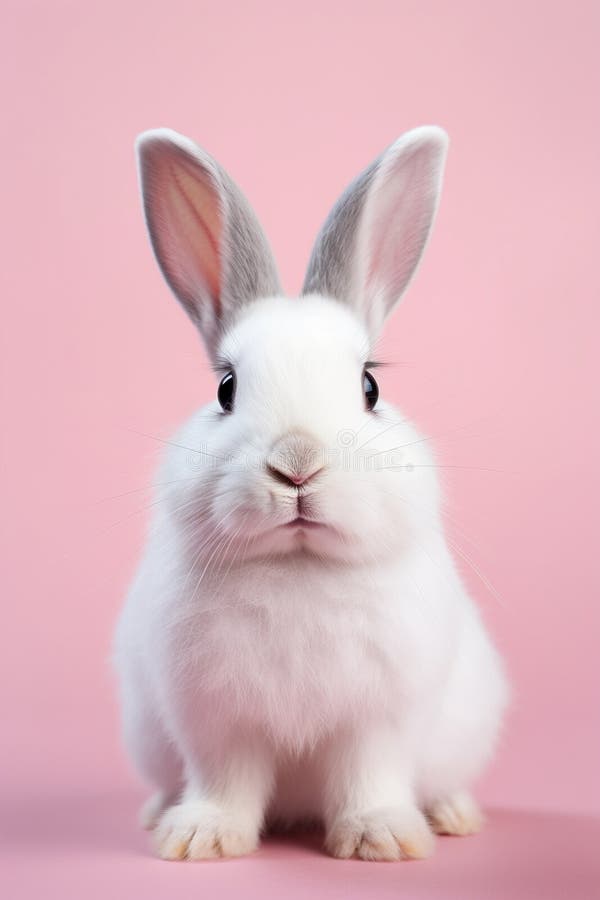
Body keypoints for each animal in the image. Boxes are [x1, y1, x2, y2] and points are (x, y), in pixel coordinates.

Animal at [113, 125, 509, 863]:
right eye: (225, 389)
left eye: (370, 387)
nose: (297, 465)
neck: (297, 567)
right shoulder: (214, 719)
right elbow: (226, 780)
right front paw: (201, 839)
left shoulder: (379, 719)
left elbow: (368, 778)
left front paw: (383, 840)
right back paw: (157, 812)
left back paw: (453, 814)